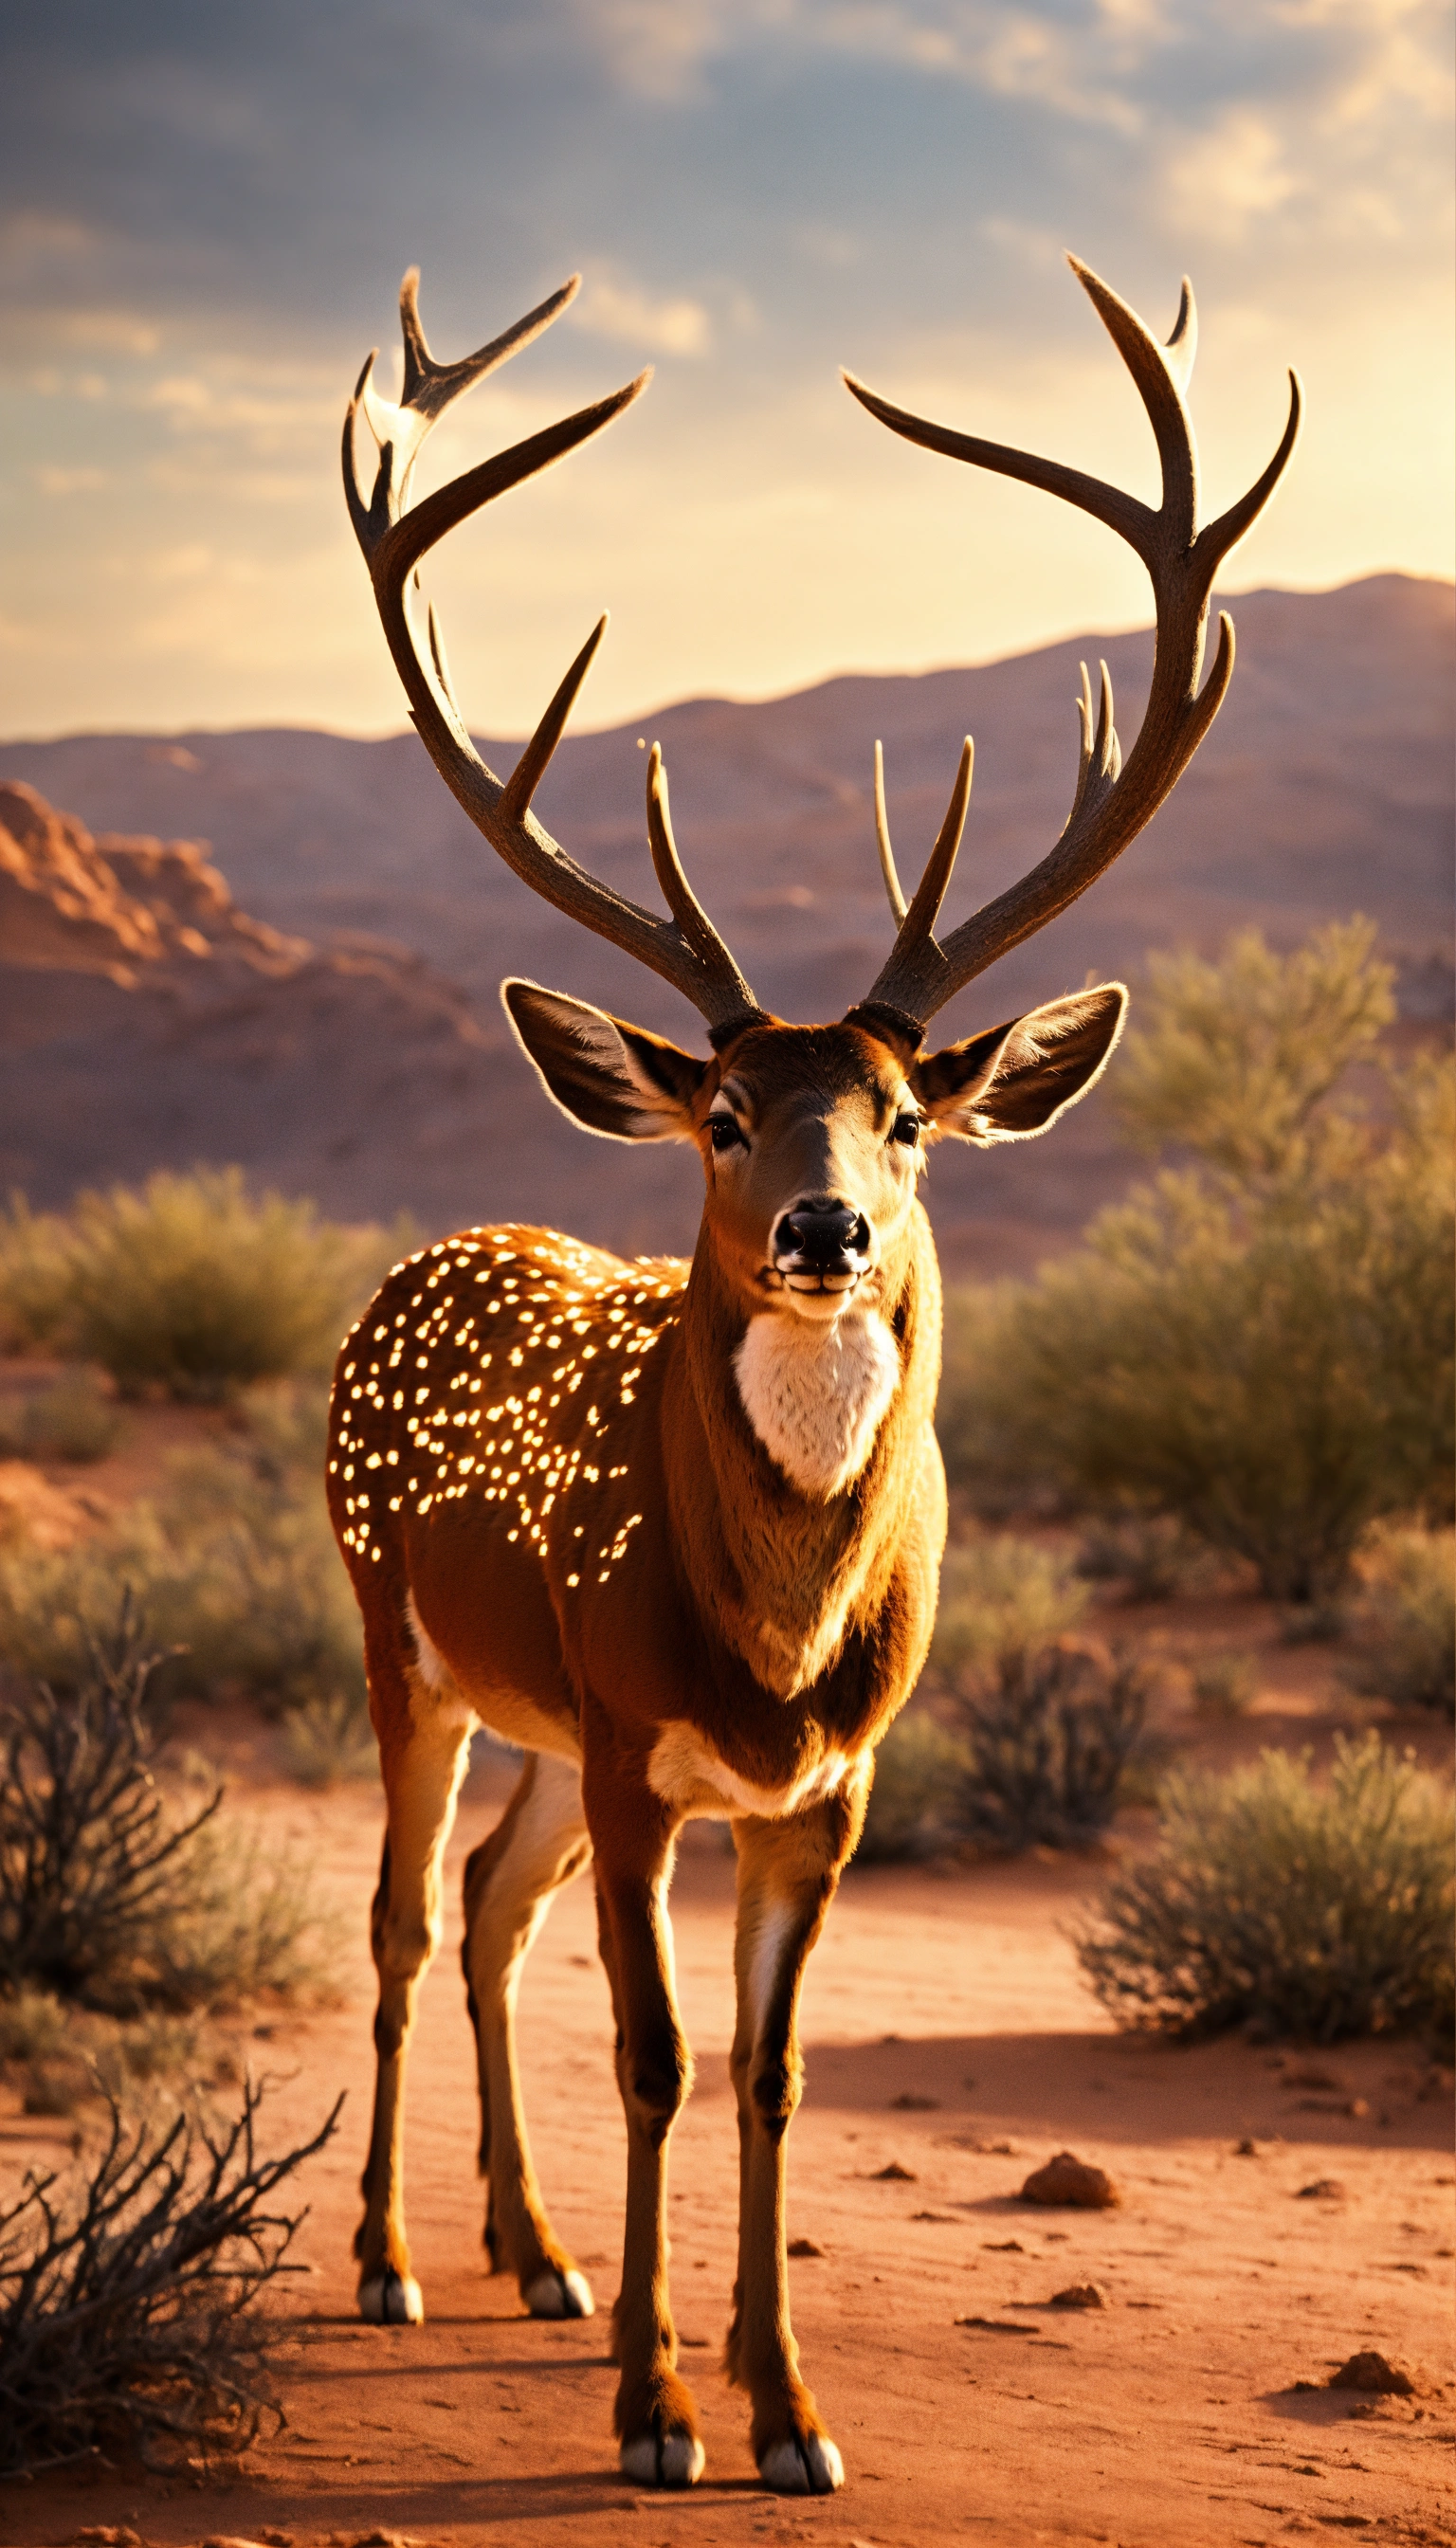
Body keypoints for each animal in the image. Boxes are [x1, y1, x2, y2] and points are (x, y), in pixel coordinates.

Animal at [328, 252, 1298, 2494]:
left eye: (908, 1115)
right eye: (719, 1117)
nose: (826, 1233)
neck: (774, 1639)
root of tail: (421, 1260)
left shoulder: (828, 1786)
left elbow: (769, 2076)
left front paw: (786, 2410)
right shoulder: (636, 1742)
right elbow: (658, 2053)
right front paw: (658, 2410)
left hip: (535, 1718)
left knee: (490, 1909)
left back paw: (531, 2257)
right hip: (409, 1639)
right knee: (409, 1917)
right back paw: (399, 2261)